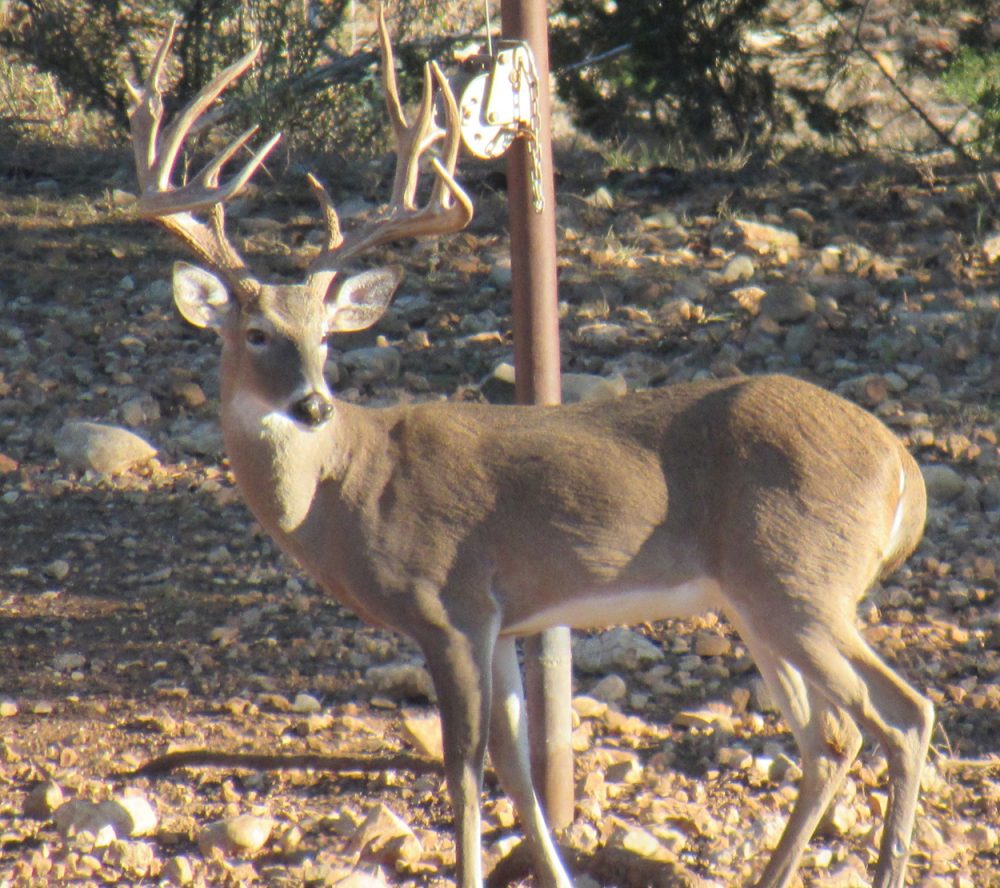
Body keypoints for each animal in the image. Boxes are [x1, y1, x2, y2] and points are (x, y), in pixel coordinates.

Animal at [126, 12, 933, 888]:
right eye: (259, 333)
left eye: (327, 338)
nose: (312, 403)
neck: (344, 491)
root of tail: (903, 468)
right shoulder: (508, 621)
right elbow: (517, 766)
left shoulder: (450, 604)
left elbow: (466, 769)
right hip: (757, 597)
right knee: (830, 736)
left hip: (801, 580)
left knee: (901, 715)